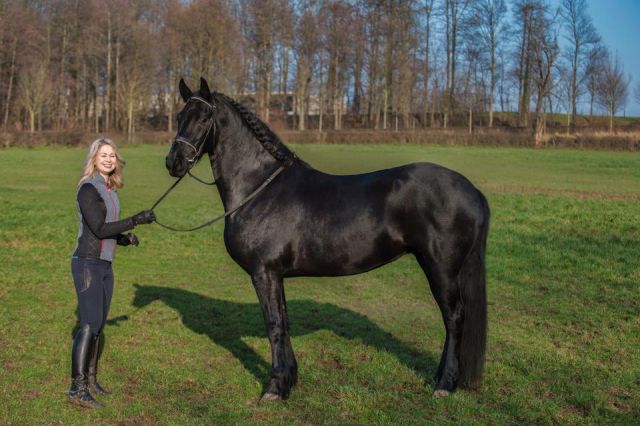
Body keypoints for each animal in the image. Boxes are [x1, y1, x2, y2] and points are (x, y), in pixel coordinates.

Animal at [164, 77, 490, 401]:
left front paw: (273, 388)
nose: (173, 162)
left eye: (204, 117)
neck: (259, 188)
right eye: (179, 117)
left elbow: (274, 326)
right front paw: (289, 380)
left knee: (454, 318)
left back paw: (444, 384)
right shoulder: (276, 275)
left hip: (440, 268)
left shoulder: (264, 272)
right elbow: (283, 322)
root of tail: (472, 191)